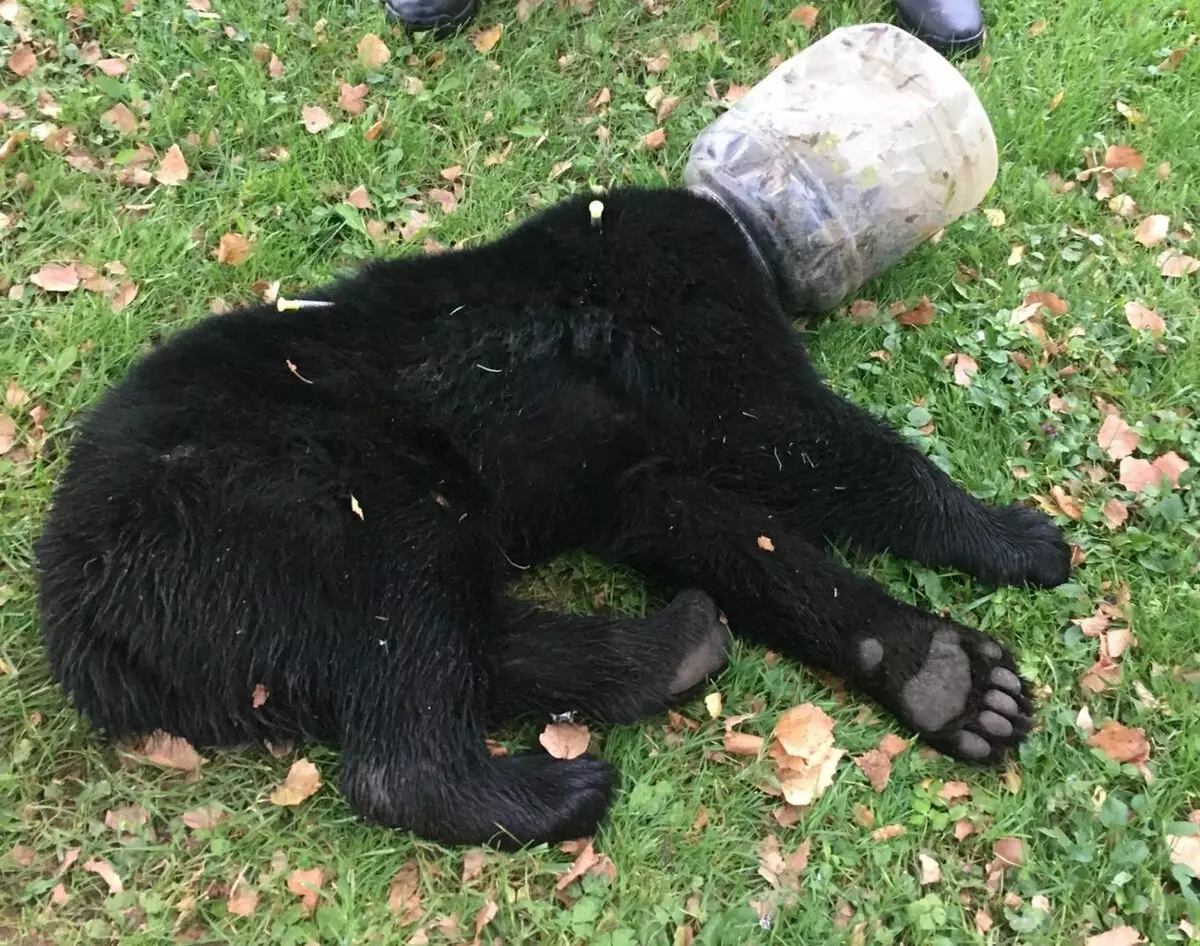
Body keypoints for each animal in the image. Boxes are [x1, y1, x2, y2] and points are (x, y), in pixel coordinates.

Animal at [37, 186, 1070, 849]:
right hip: (305, 485)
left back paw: (673, 646)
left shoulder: (624, 474)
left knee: (452, 637)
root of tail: (80, 611)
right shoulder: (675, 279)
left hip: (248, 602)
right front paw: (1010, 539)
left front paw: (939, 673)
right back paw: (548, 792)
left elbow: (719, 526)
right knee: (406, 647)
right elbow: (777, 428)